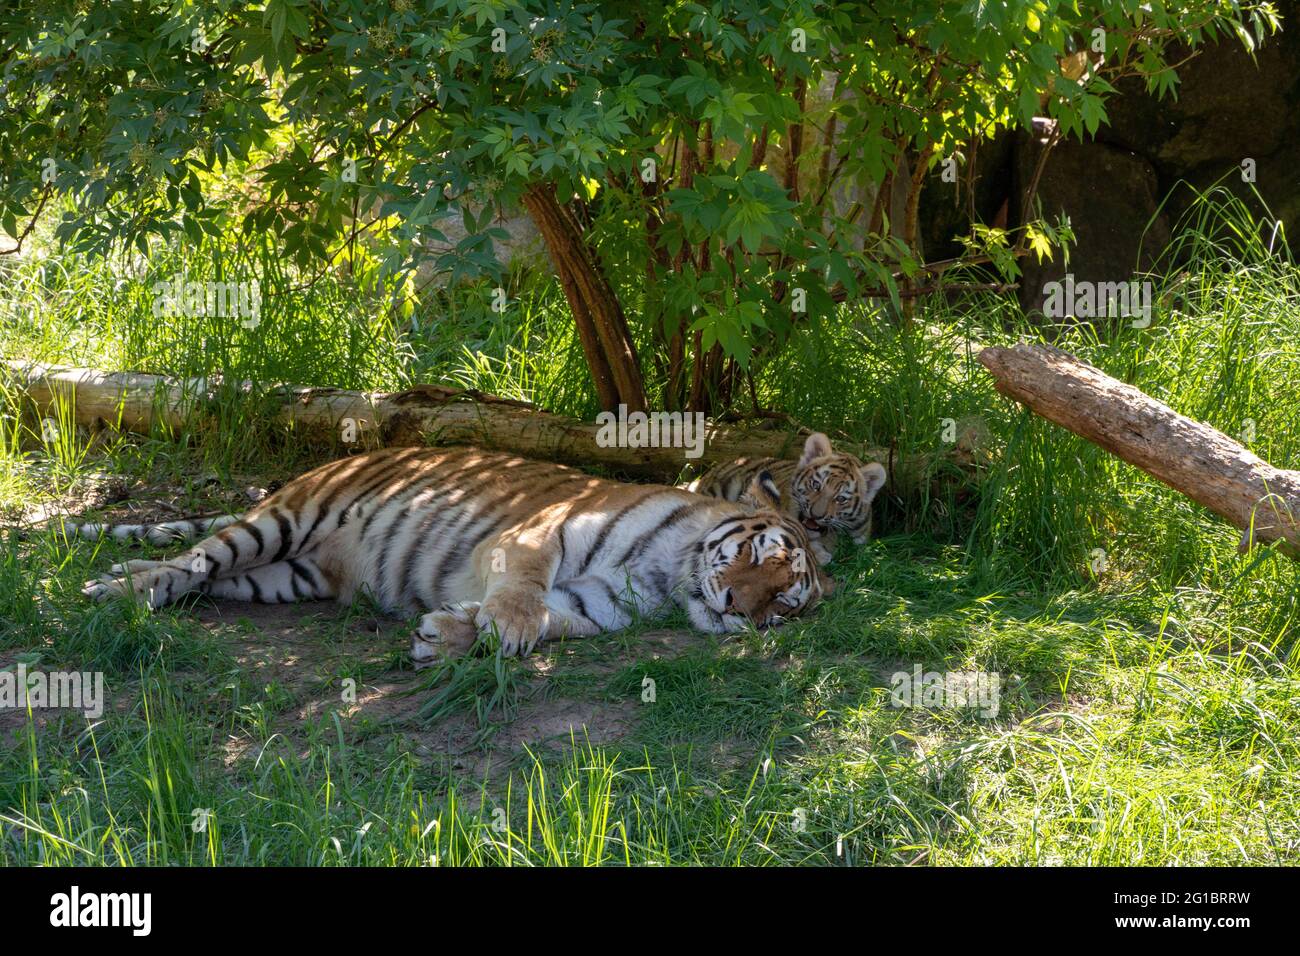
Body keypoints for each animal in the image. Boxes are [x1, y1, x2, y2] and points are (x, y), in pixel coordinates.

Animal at [79, 446, 832, 662]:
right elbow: (525, 590)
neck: (668, 576)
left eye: (782, 601)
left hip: (280, 577)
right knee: (195, 560)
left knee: (201, 576)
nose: (736, 606)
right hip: (280, 525)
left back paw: (125, 575)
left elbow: (554, 620)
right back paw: (114, 593)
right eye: (757, 552)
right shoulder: (543, 531)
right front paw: (502, 626)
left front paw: (447, 636)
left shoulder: (595, 604)